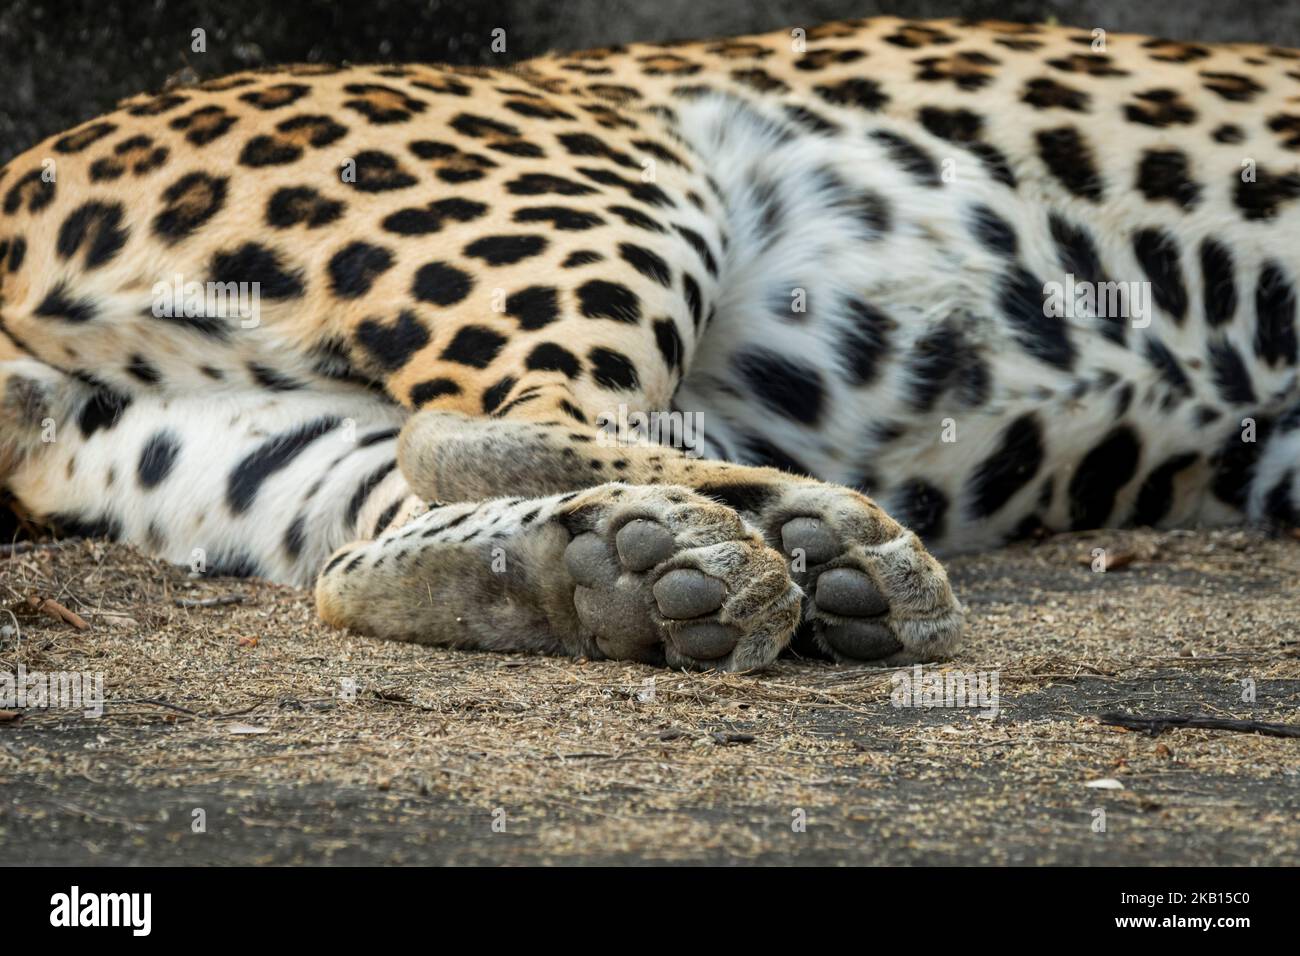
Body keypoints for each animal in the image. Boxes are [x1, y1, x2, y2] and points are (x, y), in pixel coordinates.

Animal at [1, 16, 1298, 672]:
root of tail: (21, 176)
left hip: (205, 444)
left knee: (364, 536)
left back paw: (616, 574)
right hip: (606, 182)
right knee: (483, 423)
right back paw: (823, 541)